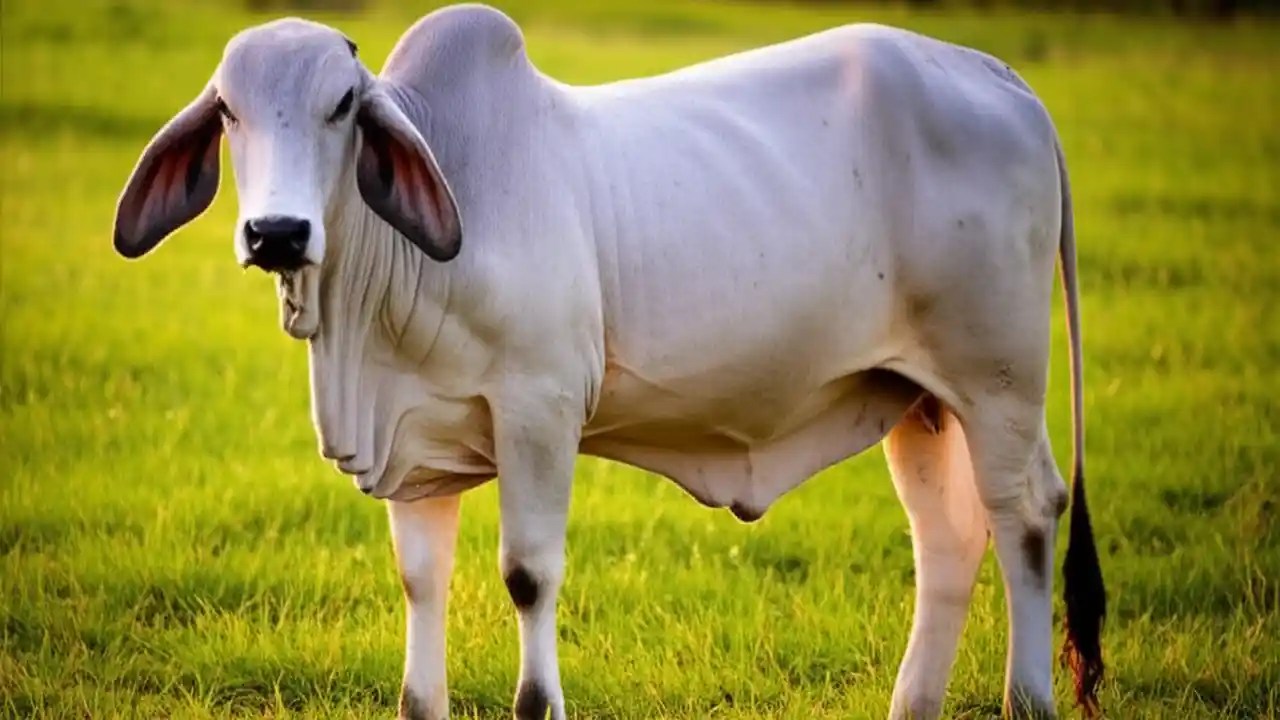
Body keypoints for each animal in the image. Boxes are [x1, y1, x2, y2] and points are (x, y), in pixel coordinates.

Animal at [112, 5, 1105, 718]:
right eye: (228, 108)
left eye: (343, 105)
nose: (277, 233)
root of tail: (998, 76)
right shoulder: (416, 452)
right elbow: (419, 585)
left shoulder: (540, 410)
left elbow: (527, 574)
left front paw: (538, 701)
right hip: (919, 399)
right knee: (948, 539)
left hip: (999, 379)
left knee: (1024, 515)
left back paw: (1028, 699)